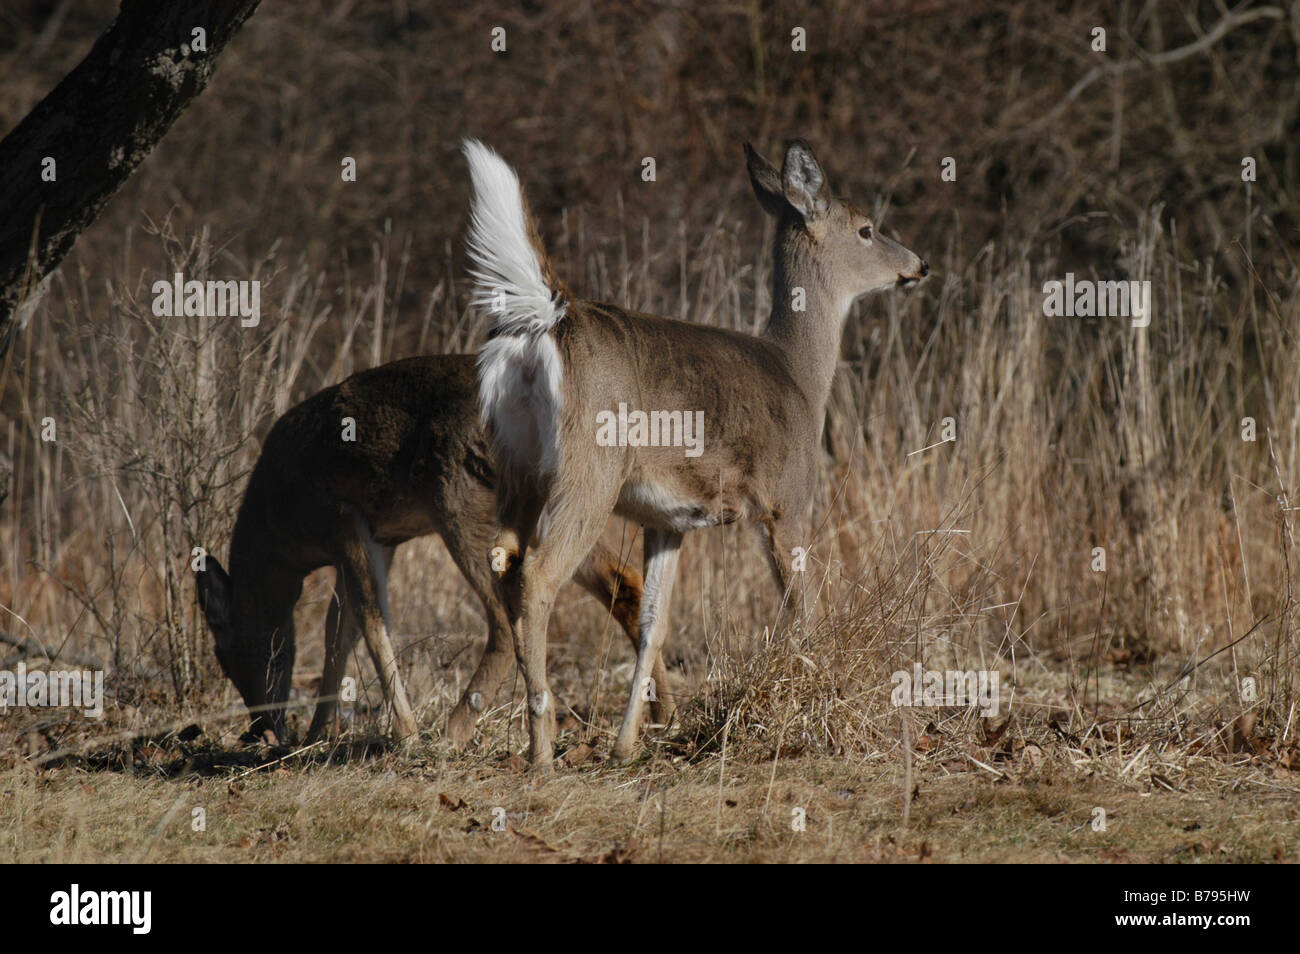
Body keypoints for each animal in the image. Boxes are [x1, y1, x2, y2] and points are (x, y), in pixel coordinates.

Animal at [194, 353, 677, 748]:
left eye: (230, 656)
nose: (262, 729)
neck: (281, 535)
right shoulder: (382, 538)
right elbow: (340, 630)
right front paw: (317, 734)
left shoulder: (343, 517)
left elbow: (369, 620)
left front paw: (405, 732)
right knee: (622, 578)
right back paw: (664, 714)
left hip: (462, 500)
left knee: (505, 618)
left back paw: (453, 732)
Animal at [465, 137, 927, 771]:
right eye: (866, 228)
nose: (919, 265)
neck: (800, 378)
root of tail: (548, 320)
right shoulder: (785, 499)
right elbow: (799, 608)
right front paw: (814, 694)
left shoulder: (669, 519)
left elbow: (654, 624)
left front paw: (627, 745)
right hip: (589, 471)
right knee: (538, 576)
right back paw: (542, 748)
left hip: (515, 471)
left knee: (504, 566)